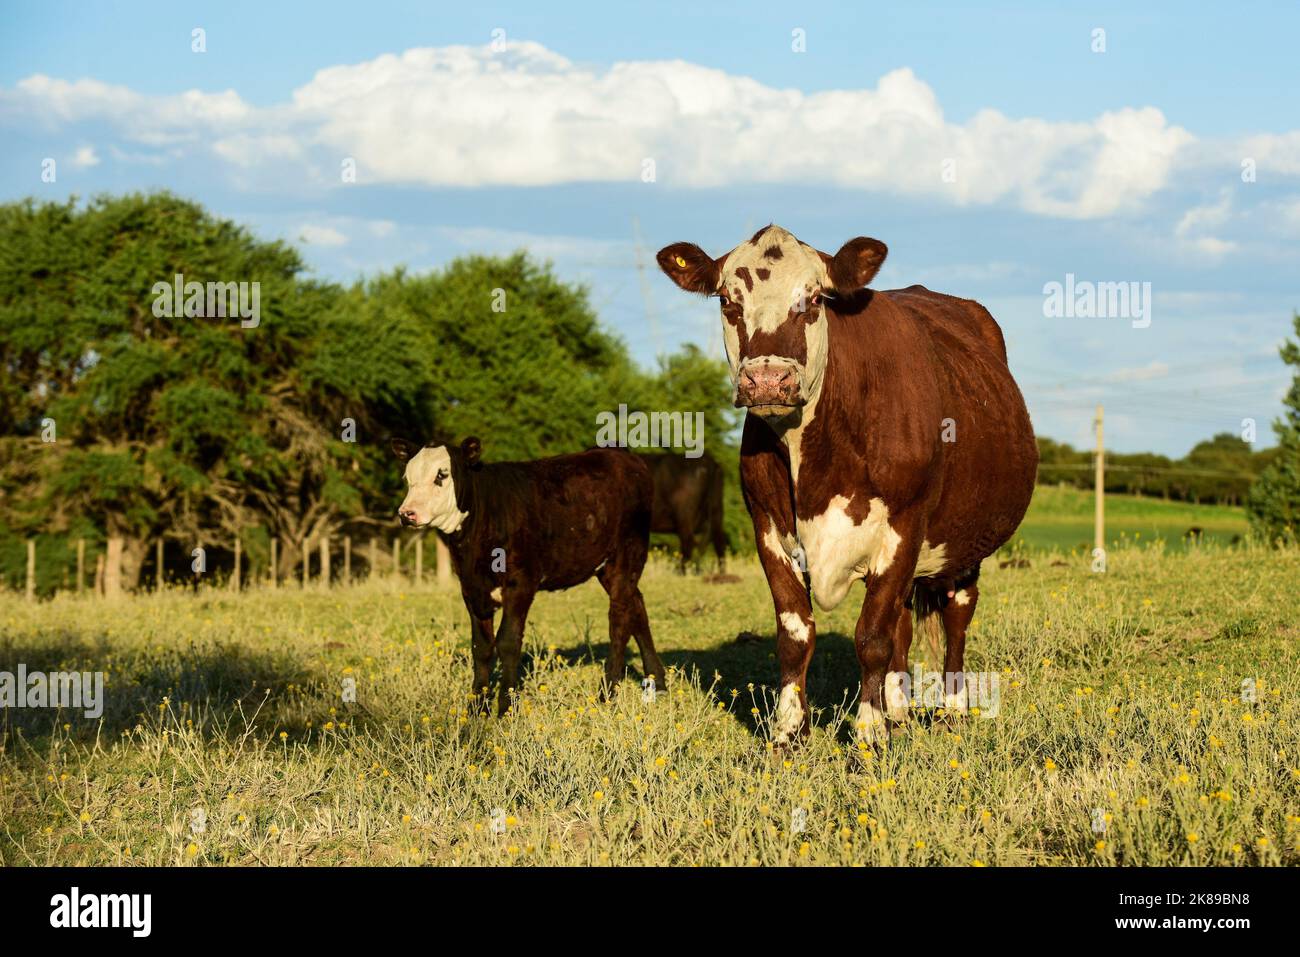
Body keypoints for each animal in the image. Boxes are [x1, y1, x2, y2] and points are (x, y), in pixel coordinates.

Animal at [392, 437, 667, 714]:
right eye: (407, 477)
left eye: (442, 474)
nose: (407, 513)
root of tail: (620, 453)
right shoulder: (471, 588)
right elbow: (481, 646)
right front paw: (476, 707)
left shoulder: (520, 583)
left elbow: (507, 642)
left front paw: (505, 707)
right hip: (608, 567)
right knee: (636, 605)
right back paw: (657, 683)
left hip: (628, 554)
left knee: (619, 621)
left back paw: (607, 693)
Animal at [657, 225, 1038, 748]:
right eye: (727, 301)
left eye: (815, 299)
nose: (767, 380)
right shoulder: (768, 527)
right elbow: (796, 633)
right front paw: (789, 733)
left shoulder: (903, 526)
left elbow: (872, 637)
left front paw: (870, 736)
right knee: (902, 622)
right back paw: (900, 712)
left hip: (965, 542)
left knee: (956, 616)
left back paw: (953, 711)